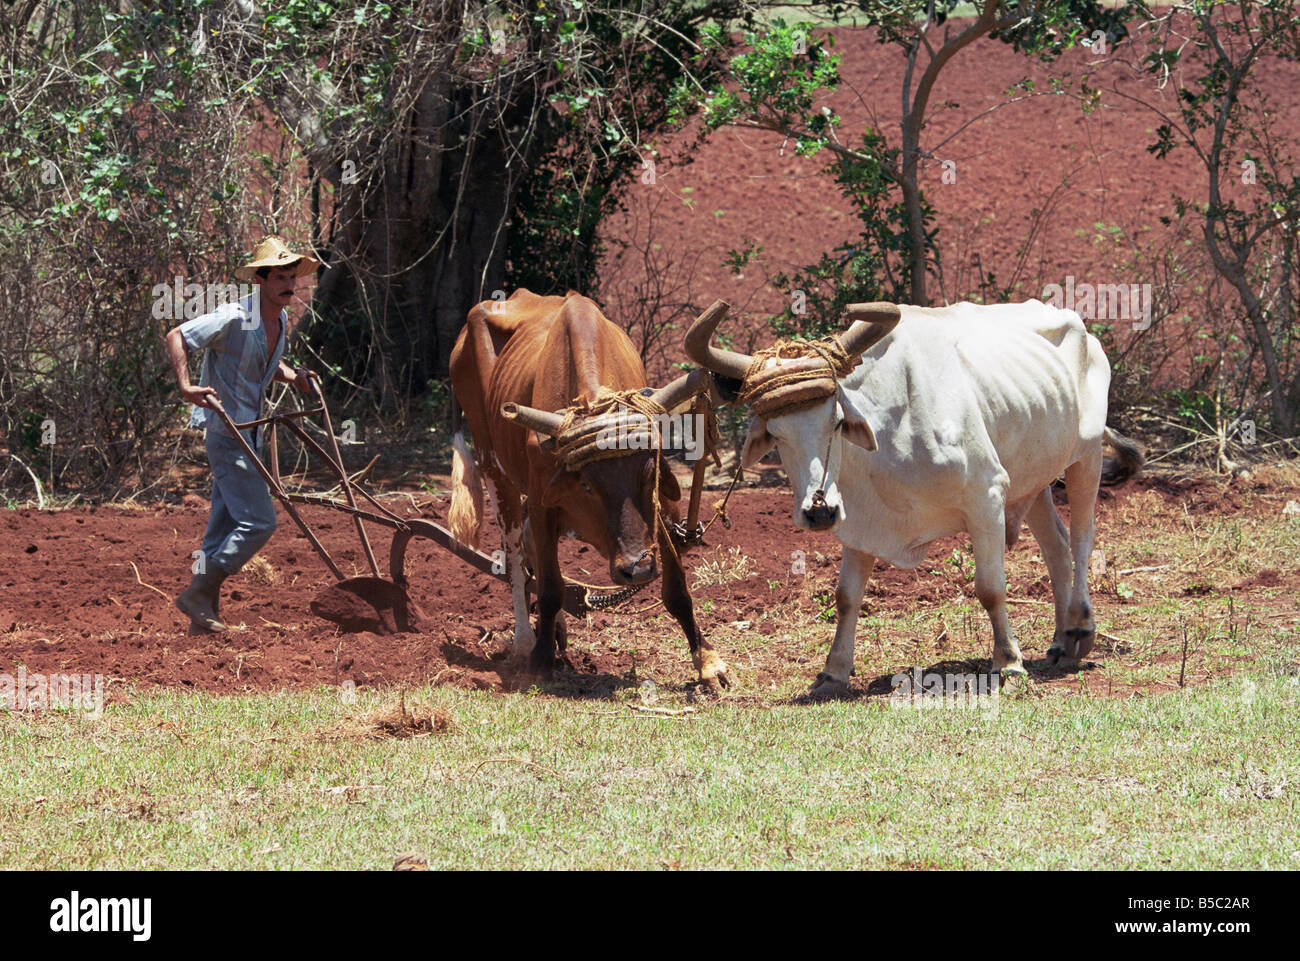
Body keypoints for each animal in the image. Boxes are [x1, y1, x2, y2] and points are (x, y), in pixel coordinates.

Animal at [448, 289, 730, 691]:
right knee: (516, 555)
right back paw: (526, 640)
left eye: (648, 475)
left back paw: (555, 632)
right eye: (587, 485)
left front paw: (707, 661)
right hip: (492, 465)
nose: (637, 569)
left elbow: (676, 586)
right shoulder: (542, 499)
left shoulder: (654, 508)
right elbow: (549, 587)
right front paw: (539, 660)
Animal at [684, 298, 1143, 693]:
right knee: (1057, 547)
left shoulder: (987, 496)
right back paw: (1062, 640)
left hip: (1085, 457)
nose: (820, 511)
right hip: (1034, 480)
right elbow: (847, 597)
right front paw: (834, 672)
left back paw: (1081, 626)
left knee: (1082, 539)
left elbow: (990, 587)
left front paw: (1008, 662)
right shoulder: (862, 521)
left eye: (837, 422)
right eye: (777, 435)